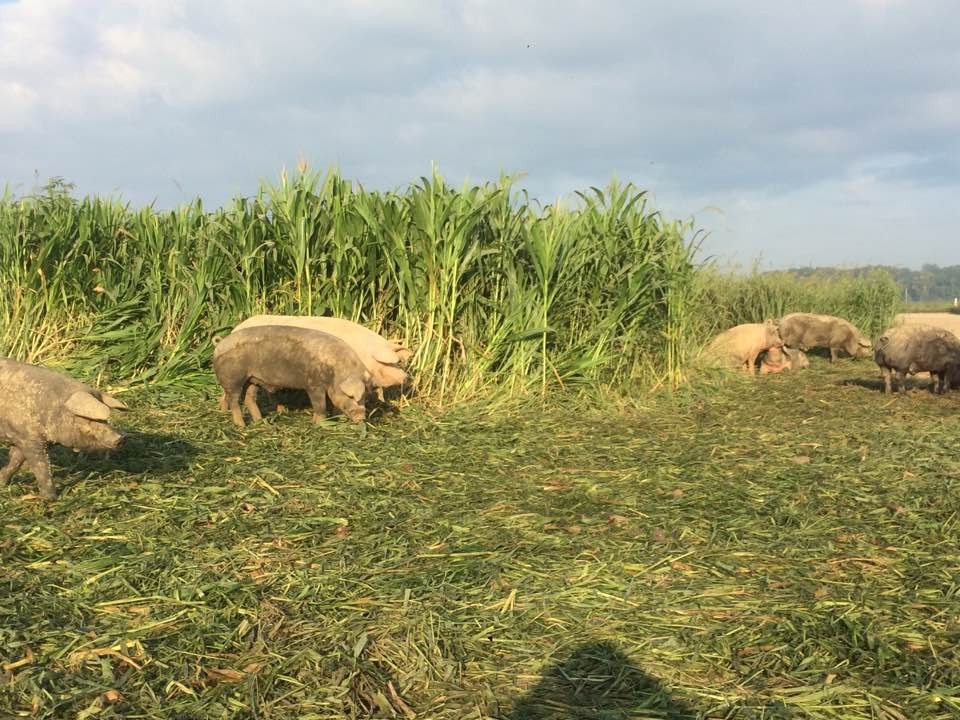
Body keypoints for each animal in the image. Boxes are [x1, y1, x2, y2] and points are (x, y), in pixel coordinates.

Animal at [0, 359, 126, 499]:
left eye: (104, 421)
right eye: (86, 420)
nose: (121, 437)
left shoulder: (23, 438)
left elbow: (15, 460)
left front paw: (2, 483)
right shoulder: (30, 440)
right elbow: (42, 467)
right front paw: (50, 499)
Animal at [213, 326, 372, 427]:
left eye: (364, 397)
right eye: (351, 396)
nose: (361, 417)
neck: (335, 373)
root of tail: (219, 345)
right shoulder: (313, 385)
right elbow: (319, 405)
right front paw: (320, 424)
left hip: (252, 379)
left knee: (249, 399)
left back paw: (259, 420)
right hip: (233, 380)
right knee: (233, 401)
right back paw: (242, 426)